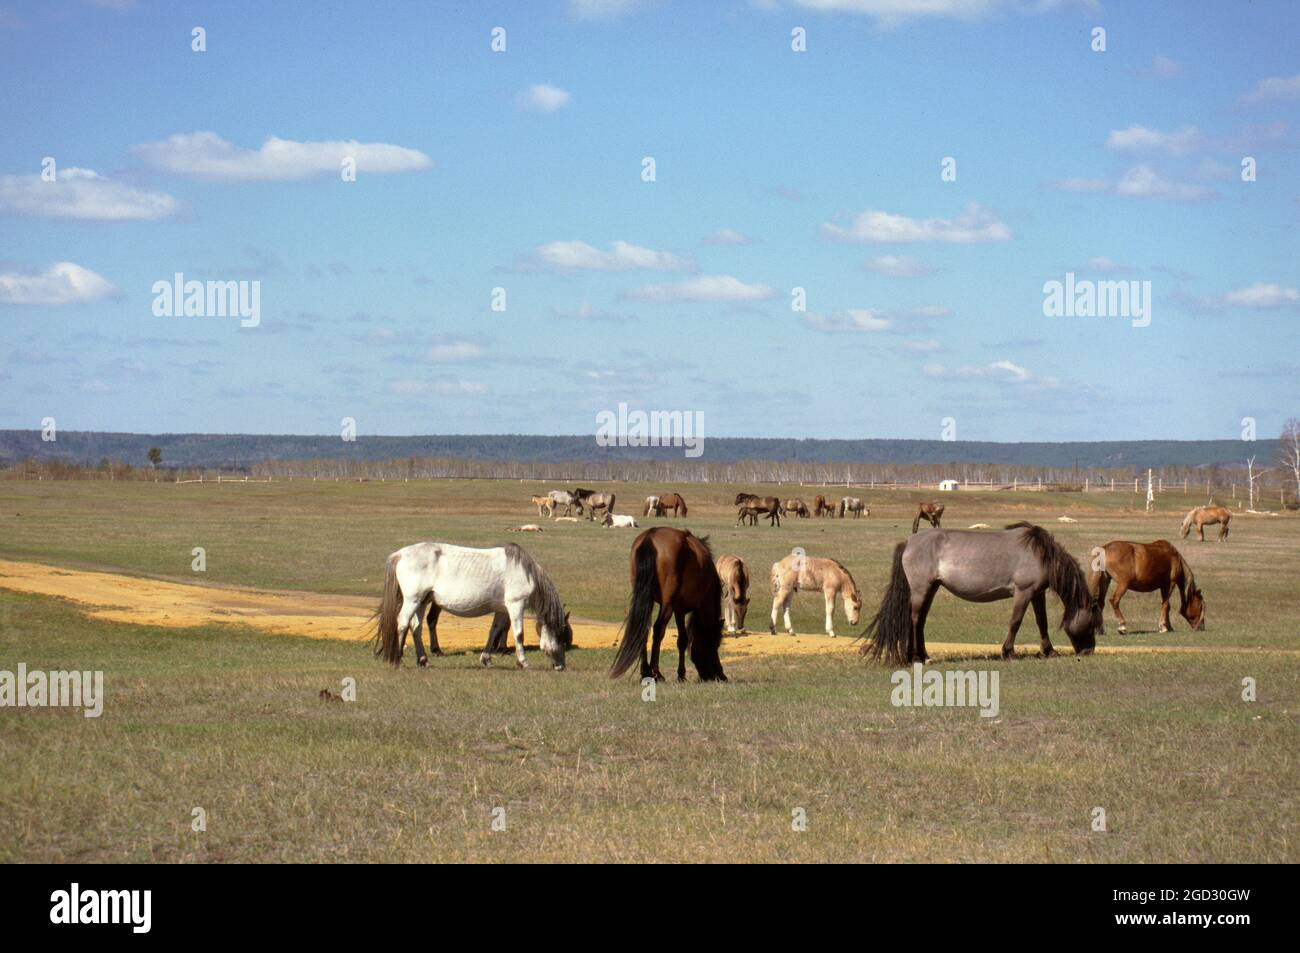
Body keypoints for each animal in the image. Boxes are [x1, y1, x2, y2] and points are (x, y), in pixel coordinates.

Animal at [373, 541, 572, 671]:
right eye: (562, 636)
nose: (561, 666)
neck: (525, 572)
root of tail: (399, 554)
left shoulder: (501, 610)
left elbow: (494, 631)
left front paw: (486, 659)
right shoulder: (516, 605)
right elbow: (519, 634)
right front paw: (523, 662)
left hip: (422, 601)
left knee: (416, 627)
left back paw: (424, 661)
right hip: (412, 600)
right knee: (402, 623)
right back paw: (397, 660)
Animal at [609, 527, 727, 682]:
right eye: (715, 643)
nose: (717, 676)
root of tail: (651, 535)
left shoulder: (678, 610)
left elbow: (682, 639)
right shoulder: (679, 609)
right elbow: (682, 640)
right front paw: (681, 675)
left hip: (646, 599)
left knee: (643, 629)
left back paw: (645, 672)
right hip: (667, 604)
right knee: (658, 630)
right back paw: (656, 673)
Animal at [862, 522, 1102, 663]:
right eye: (1093, 623)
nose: (1088, 651)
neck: (1040, 553)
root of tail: (909, 541)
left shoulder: (1036, 593)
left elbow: (1041, 622)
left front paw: (1049, 651)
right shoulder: (1023, 592)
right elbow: (1015, 621)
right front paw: (1008, 652)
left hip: (931, 589)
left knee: (920, 621)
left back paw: (925, 655)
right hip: (921, 590)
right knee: (913, 620)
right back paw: (913, 657)